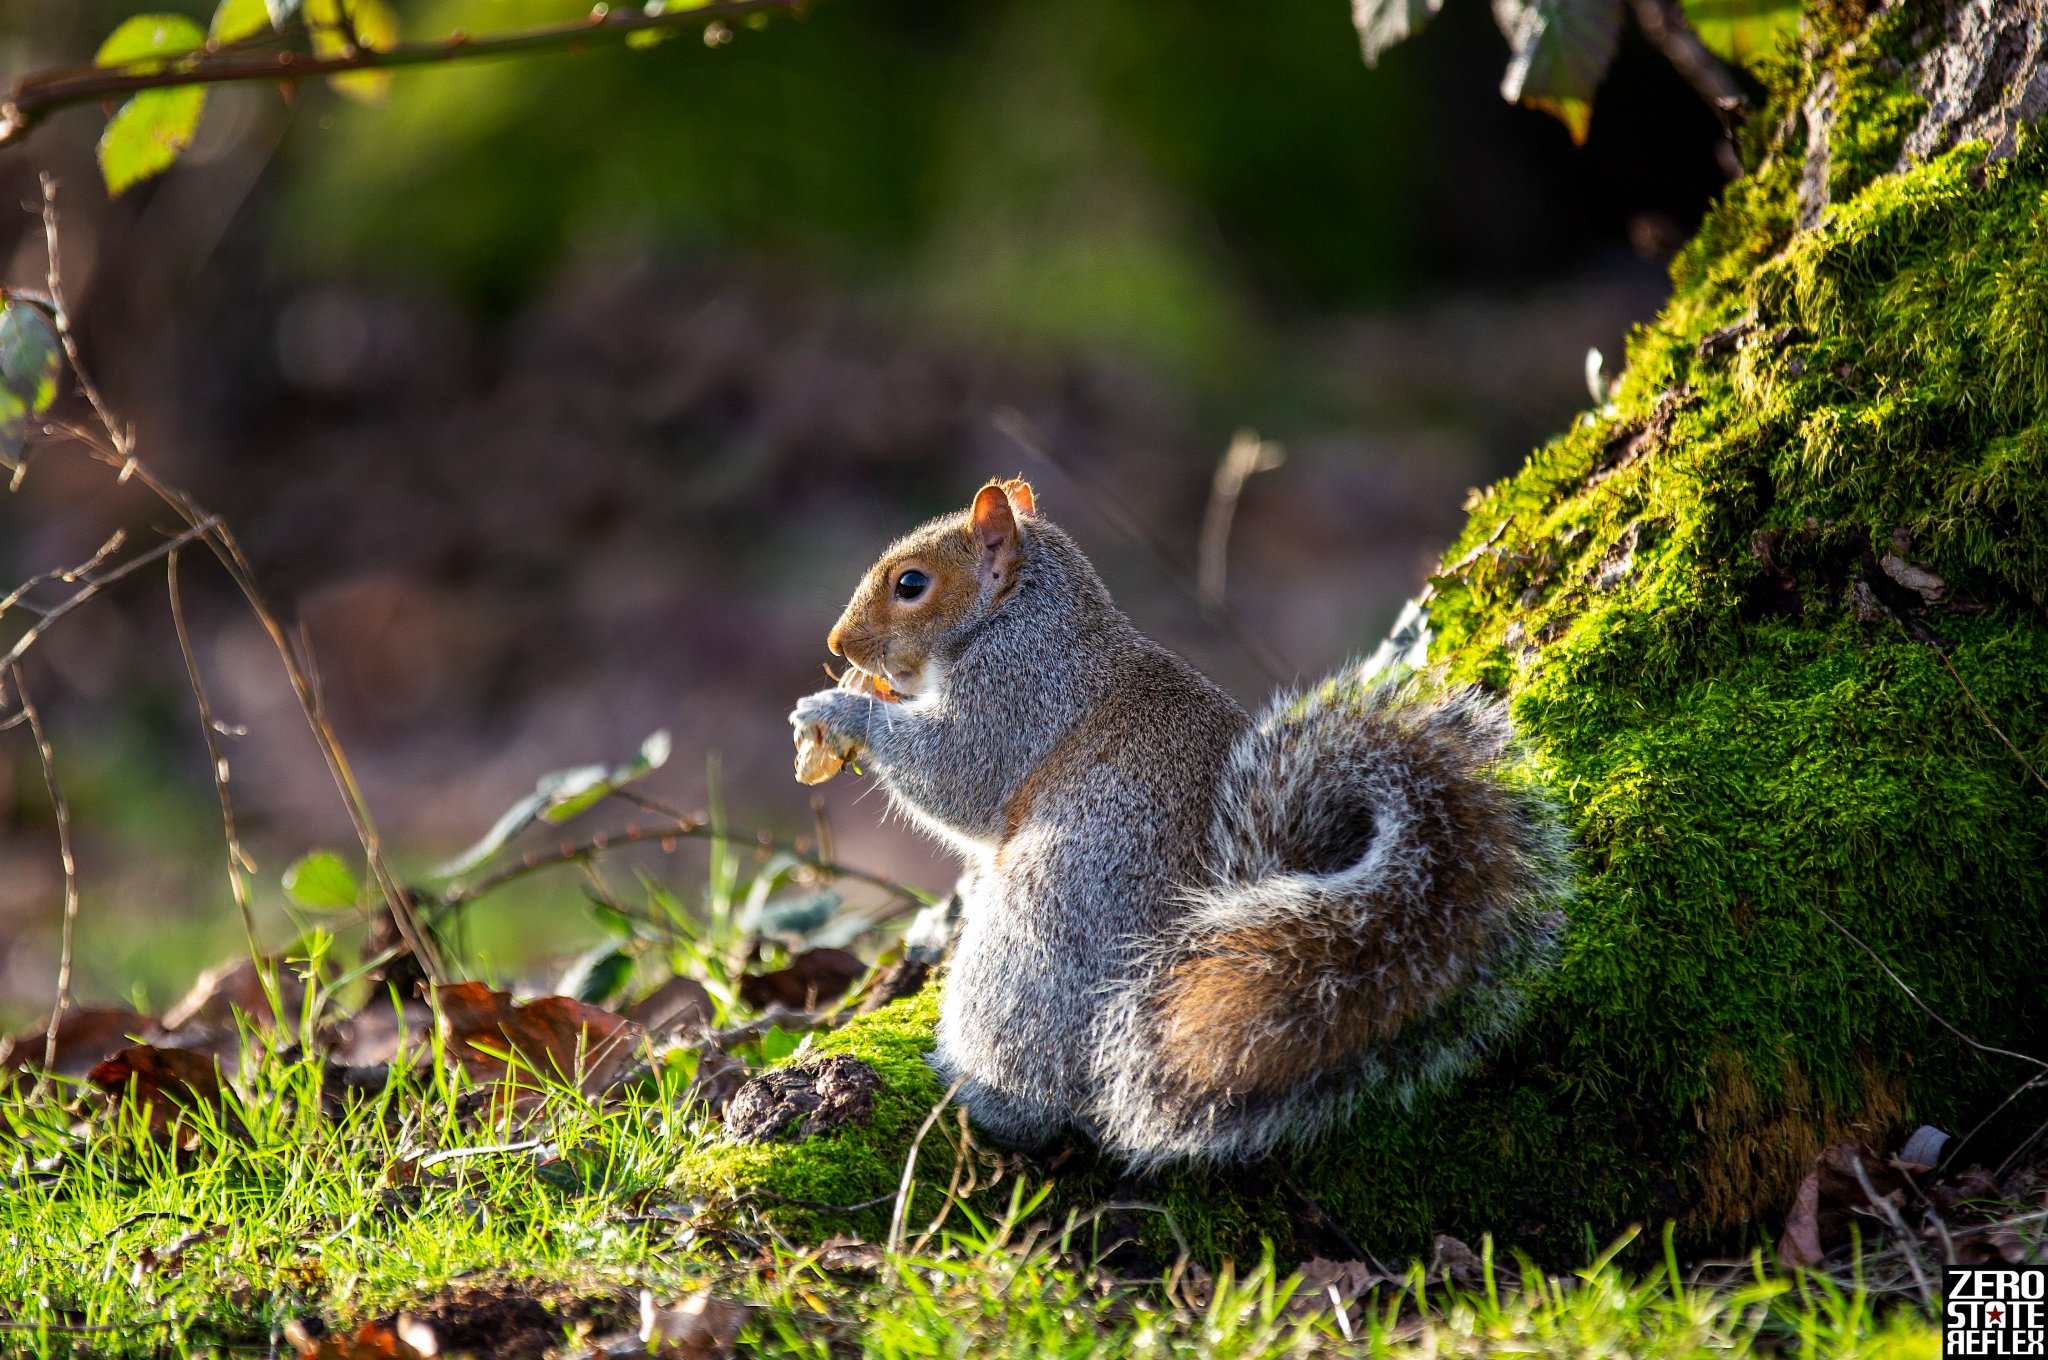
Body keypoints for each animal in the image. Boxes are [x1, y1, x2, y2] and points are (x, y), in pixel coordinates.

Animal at [789, 479, 1569, 1169]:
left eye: (911, 584)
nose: (838, 643)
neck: (1020, 616)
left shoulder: (1016, 694)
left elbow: (958, 775)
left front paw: (841, 710)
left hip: (1029, 942)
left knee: (1038, 1093)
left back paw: (976, 1087)